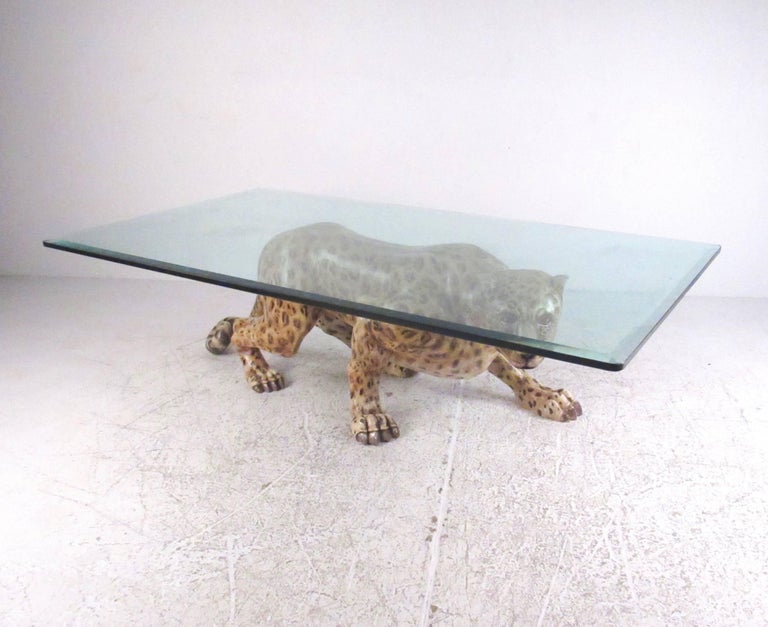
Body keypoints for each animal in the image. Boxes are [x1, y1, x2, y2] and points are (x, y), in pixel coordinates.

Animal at [206, 222, 581, 445]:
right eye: (506, 316)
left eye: (545, 319)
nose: (530, 351)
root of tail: (277, 238)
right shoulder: (375, 318)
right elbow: (360, 371)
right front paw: (370, 419)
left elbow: (512, 371)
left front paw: (546, 396)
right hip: (289, 326)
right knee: (244, 328)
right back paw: (260, 372)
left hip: (322, 315)